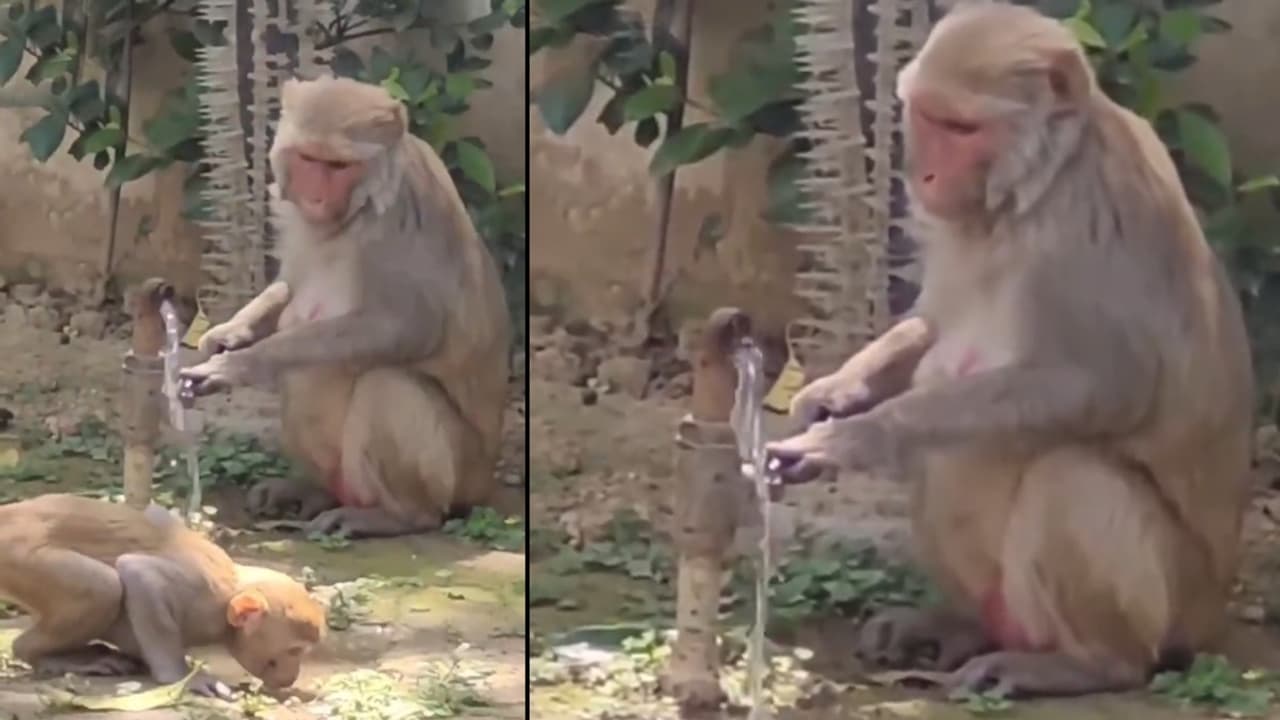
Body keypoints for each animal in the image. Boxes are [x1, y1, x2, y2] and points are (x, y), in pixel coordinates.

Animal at [0, 494, 326, 698]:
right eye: (294, 651)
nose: (292, 674)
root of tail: (10, 515)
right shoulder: (203, 596)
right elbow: (138, 573)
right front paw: (181, 676)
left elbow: (155, 515)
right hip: (19, 555)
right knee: (104, 587)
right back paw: (46, 655)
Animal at [179, 75, 511, 538]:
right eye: (308, 159)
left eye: (337, 167)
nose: (316, 198)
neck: (355, 212)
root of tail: (487, 481)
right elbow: (288, 284)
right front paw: (227, 334)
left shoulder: (402, 217)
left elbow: (407, 327)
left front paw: (240, 365)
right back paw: (312, 491)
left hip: (462, 476)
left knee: (387, 385)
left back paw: (398, 516)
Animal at [766, 1, 1255, 698]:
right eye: (927, 117)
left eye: (963, 128)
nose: (925, 174)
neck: (1032, 189)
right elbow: (933, 324)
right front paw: (832, 395)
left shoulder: (1093, 217)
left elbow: (1107, 386)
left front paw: (860, 436)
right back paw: (960, 626)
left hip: (1178, 608)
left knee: (1069, 474)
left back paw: (1090, 663)